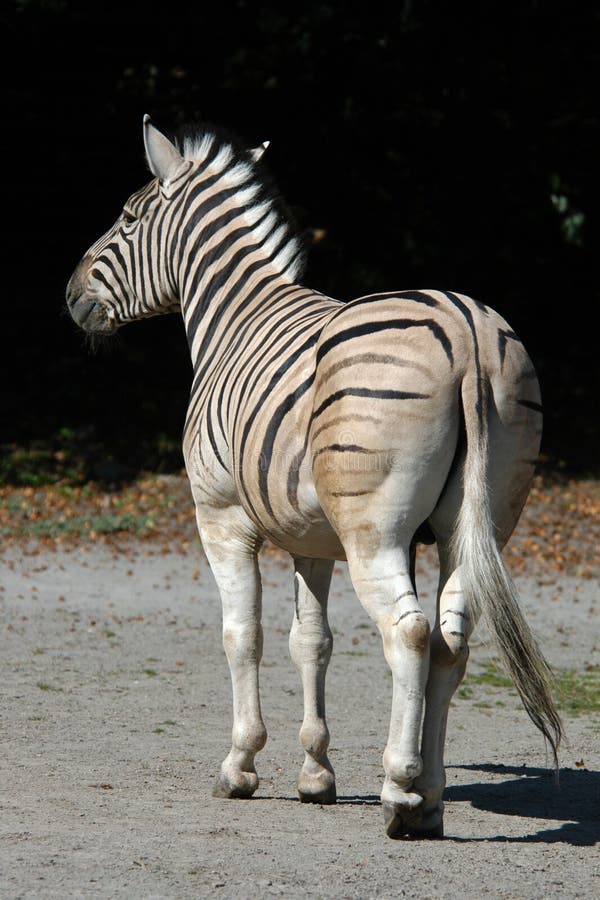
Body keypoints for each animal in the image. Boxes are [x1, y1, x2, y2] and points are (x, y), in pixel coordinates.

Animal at [66, 116, 562, 839]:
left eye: (128, 218)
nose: (70, 294)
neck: (235, 317)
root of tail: (465, 325)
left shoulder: (221, 517)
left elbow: (243, 635)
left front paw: (240, 766)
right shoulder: (311, 537)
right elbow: (313, 643)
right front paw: (316, 775)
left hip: (374, 531)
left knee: (409, 633)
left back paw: (401, 792)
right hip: (477, 525)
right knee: (450, 638)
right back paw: (431, 798)